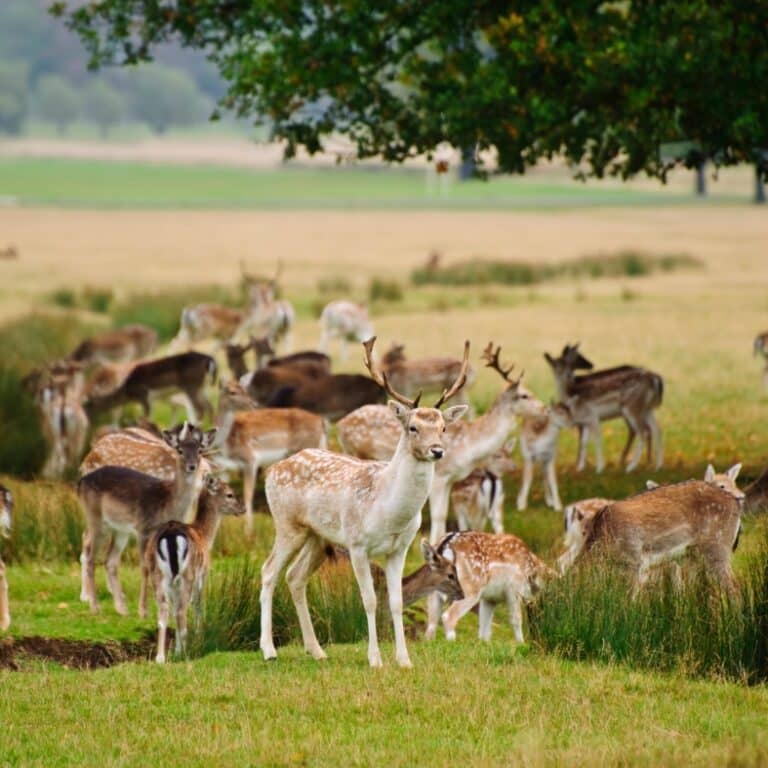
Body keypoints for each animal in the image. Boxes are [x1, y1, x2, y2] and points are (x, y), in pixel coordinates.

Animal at [78, 421, 218, 617]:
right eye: (180, 450)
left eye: (201, 450)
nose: (207, 477)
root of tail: (88, 455)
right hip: (100, 519)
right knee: (87, 541)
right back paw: (88, 597)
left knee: (105, 553)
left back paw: (115, 598)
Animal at [84, 351, 217, 422]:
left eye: (89, 405)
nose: (88, 419)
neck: (128, 392)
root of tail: (210, 360)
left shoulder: (143, 394)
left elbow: (145, 417)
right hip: (201, 387)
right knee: (210, 407)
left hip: (191, 385)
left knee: (200, 409)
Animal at [148, 475, 244, 663]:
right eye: (229, 494)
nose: (242, 508)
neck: (205, 536)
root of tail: (170, 536)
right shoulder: (203, 574)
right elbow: (199, 605)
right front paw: (199, 640)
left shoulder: (173, 584)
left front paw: (175, 651)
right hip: (188, 575)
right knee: (181, 611)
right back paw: (186, 653)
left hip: (157, 575)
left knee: (164, 611)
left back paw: (160, 658)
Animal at [259, 336, 469, 668]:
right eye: (412, 427)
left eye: (443, 428)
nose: (437, 450)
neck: (388, 512)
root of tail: (272, 470)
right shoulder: (358, 544)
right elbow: (369, 600)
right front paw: (375, 659)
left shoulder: (400, 548)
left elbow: (395, 601)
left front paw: (404, 659)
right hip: (287, 524)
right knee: (268, 572)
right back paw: (269, 650)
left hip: (317, 537)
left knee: (295, 577)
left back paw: (316, 650)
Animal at [544, 343, 664, 473]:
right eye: (556, 365)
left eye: (571, 361)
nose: (590, 364)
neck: (569, 393)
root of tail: (655, 379)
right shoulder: (584, 421)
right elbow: (584, 442)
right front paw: (580, 468)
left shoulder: (592, 417)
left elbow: (596, 440)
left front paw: (599, 468)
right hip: (647, 409)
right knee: (656, 430)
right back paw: (656, 466)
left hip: (631, 407)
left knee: (643, 432)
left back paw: (631, 467)